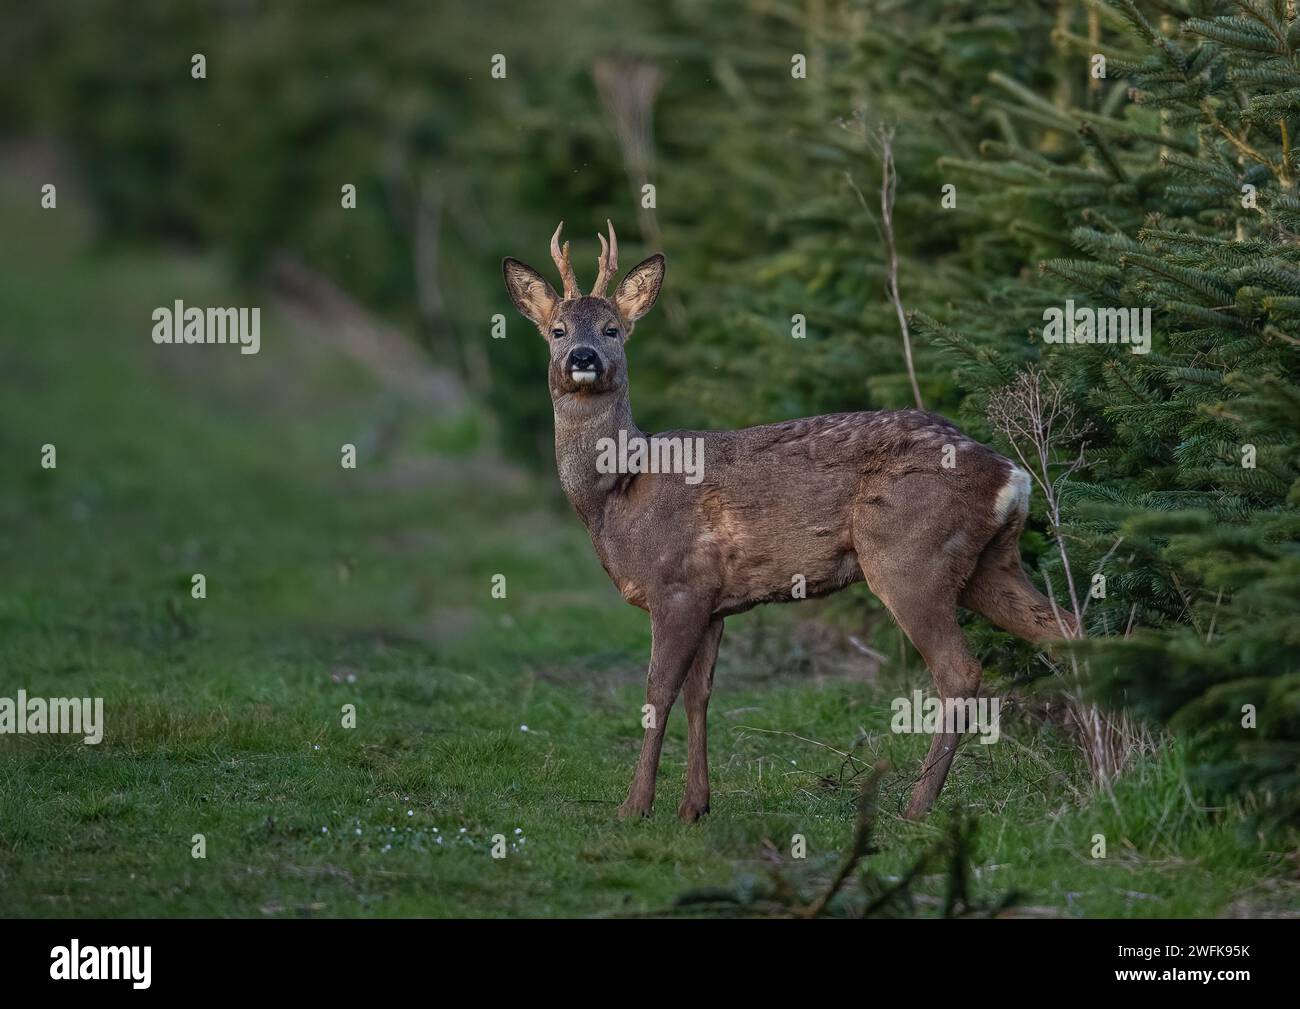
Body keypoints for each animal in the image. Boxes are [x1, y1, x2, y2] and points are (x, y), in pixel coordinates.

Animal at [502, 221, 1078, 823]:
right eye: (558, 329)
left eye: (612, 329)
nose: (583, 356)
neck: (618, 492)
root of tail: (1012, 476)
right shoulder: (713, 600)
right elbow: (699, 695)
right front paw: (694, 807)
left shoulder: (678, 583)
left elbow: (658, 693)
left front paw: (634, 808)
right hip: (992, 564)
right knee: (1069, 631)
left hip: (909, 556)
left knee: (960, 669)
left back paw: (916, 805)